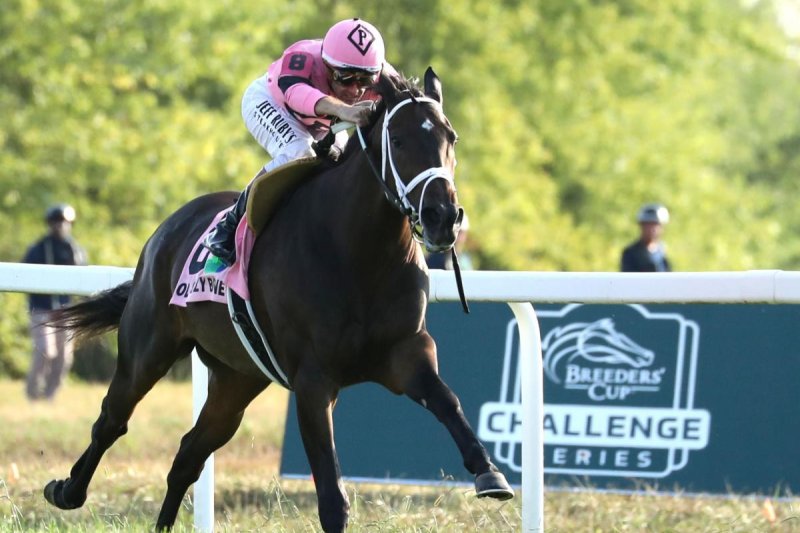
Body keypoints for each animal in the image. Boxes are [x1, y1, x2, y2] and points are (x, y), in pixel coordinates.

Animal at [43, 68, 514, 532]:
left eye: (451, 138)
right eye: (396, 140)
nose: (443, 217)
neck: (357, 252)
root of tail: (167, 229)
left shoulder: (406, 352)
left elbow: (447, 401)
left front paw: (490, 472)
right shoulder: (312, 380)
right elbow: (331, 496)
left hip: (237, 377)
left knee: (188, 454)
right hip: (149, 347)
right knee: (112, 421)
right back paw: (66, 491)